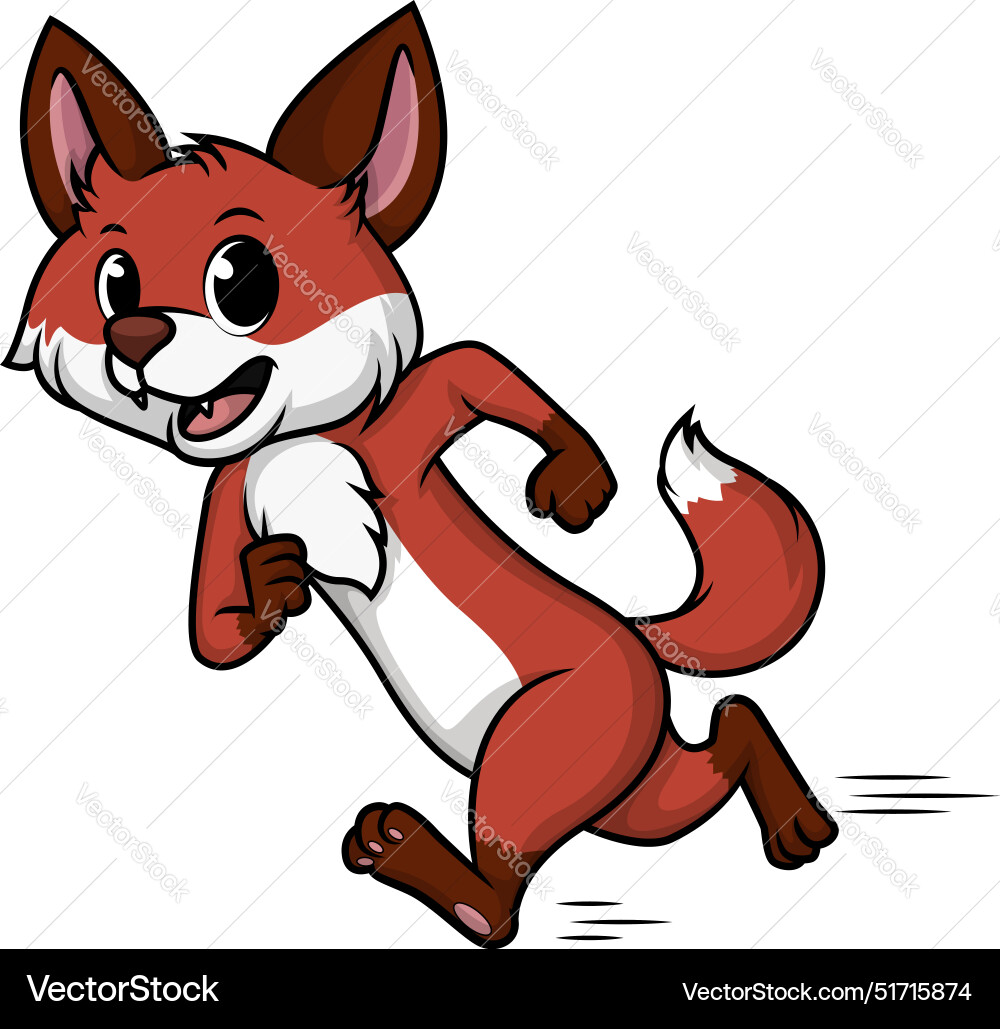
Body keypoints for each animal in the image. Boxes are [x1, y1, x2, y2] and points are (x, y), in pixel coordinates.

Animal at [6, 5, 837, 947]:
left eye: (240, 277)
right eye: (115, 281)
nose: (134, 335)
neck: (295, 440)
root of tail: (638, 638)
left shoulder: (401, 429)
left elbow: (478, 368)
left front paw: (575, 481)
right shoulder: (229, 501)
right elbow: (217, 633)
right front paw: (273, 581)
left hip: (552, 737)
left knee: (499, 907)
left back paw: (408, 853)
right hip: (630, 790)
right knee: (725, 733)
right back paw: (793, 820)